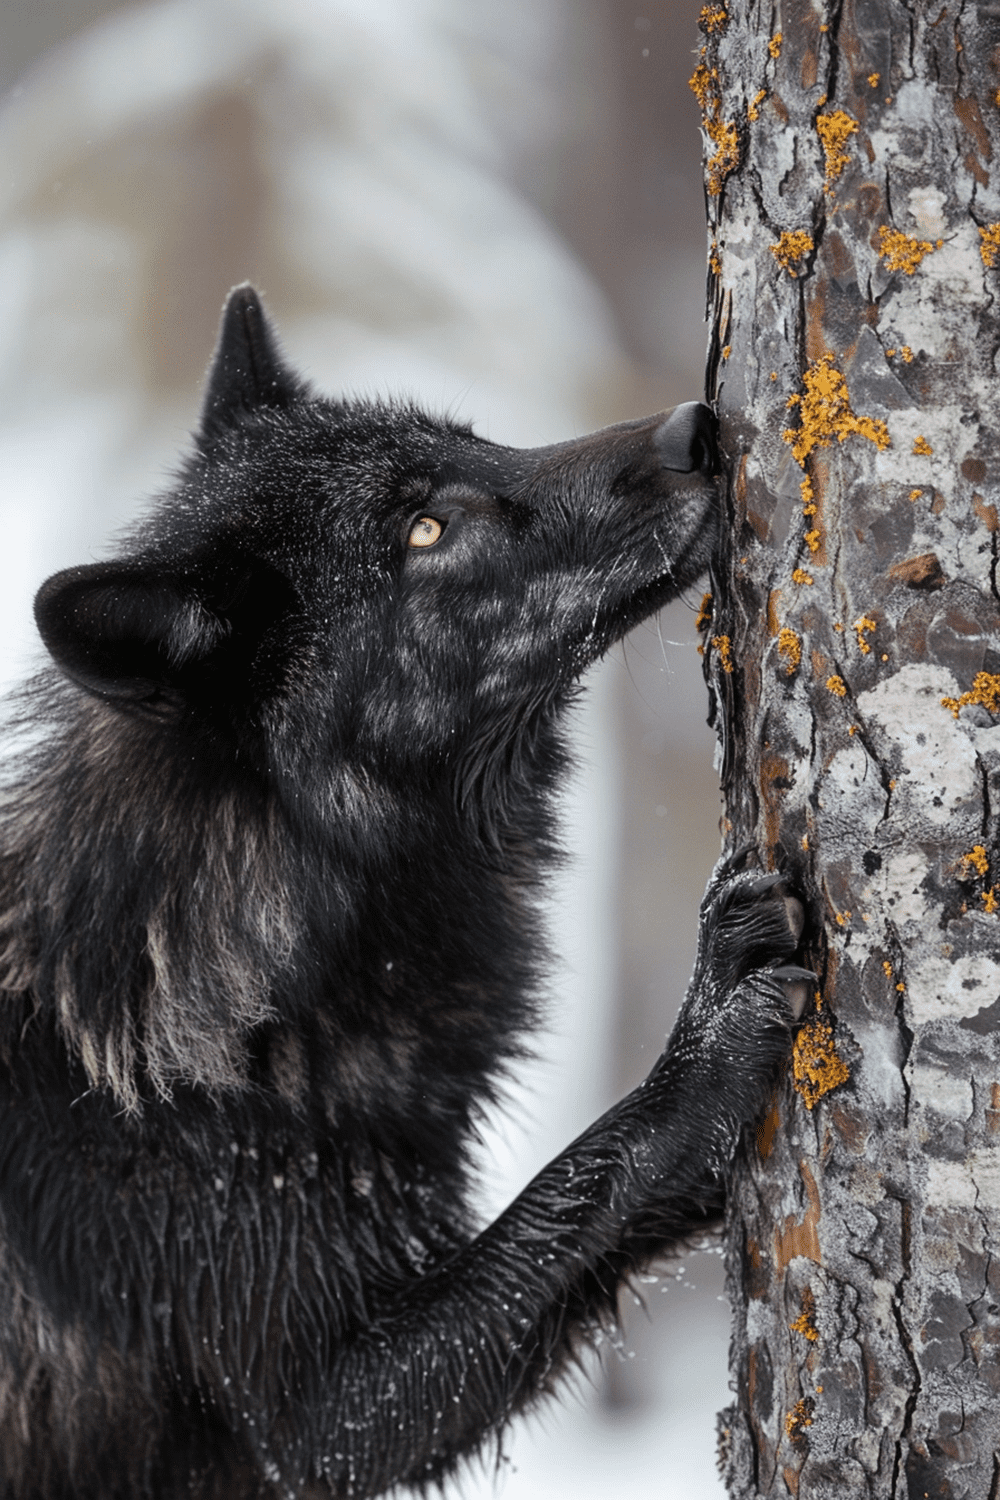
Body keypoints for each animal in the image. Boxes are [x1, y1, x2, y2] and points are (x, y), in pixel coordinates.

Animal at [0, 285, 807, 1499]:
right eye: (423, 533)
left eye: (474, 440)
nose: (693, 427)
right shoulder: (322, 1418)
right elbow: (585, 1178)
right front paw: (708, 1039)